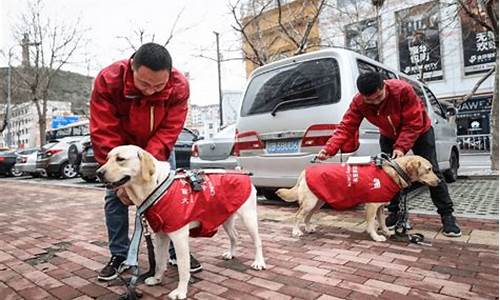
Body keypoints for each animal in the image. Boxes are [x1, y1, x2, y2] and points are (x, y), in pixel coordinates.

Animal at [98, 145, 270, 298]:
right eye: (107, 158)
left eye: (120, 159)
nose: (99, 173)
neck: (157, 186)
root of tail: (241, 172)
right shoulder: (161, 235)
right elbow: (160, 261)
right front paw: (157, 279)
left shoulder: (179, 236)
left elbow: (183, 268)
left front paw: (181, 291)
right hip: (224, 216)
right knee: (235, 236)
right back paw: (231, 254)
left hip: (248, 217)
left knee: (258, 241)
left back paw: (259, 262)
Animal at [276, 155, 440, 241]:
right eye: (429, 169)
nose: (439, 181)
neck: (394, 171)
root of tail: (304, 171)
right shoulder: (372, 205)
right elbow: (371, 223)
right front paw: (376, 236)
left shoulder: (380, 206)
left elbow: (382, 222)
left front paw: (386, 232)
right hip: (310, 202)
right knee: (298, 216)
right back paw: (296, 232)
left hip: (318, 202)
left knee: (307, 216)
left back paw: (309, 228)